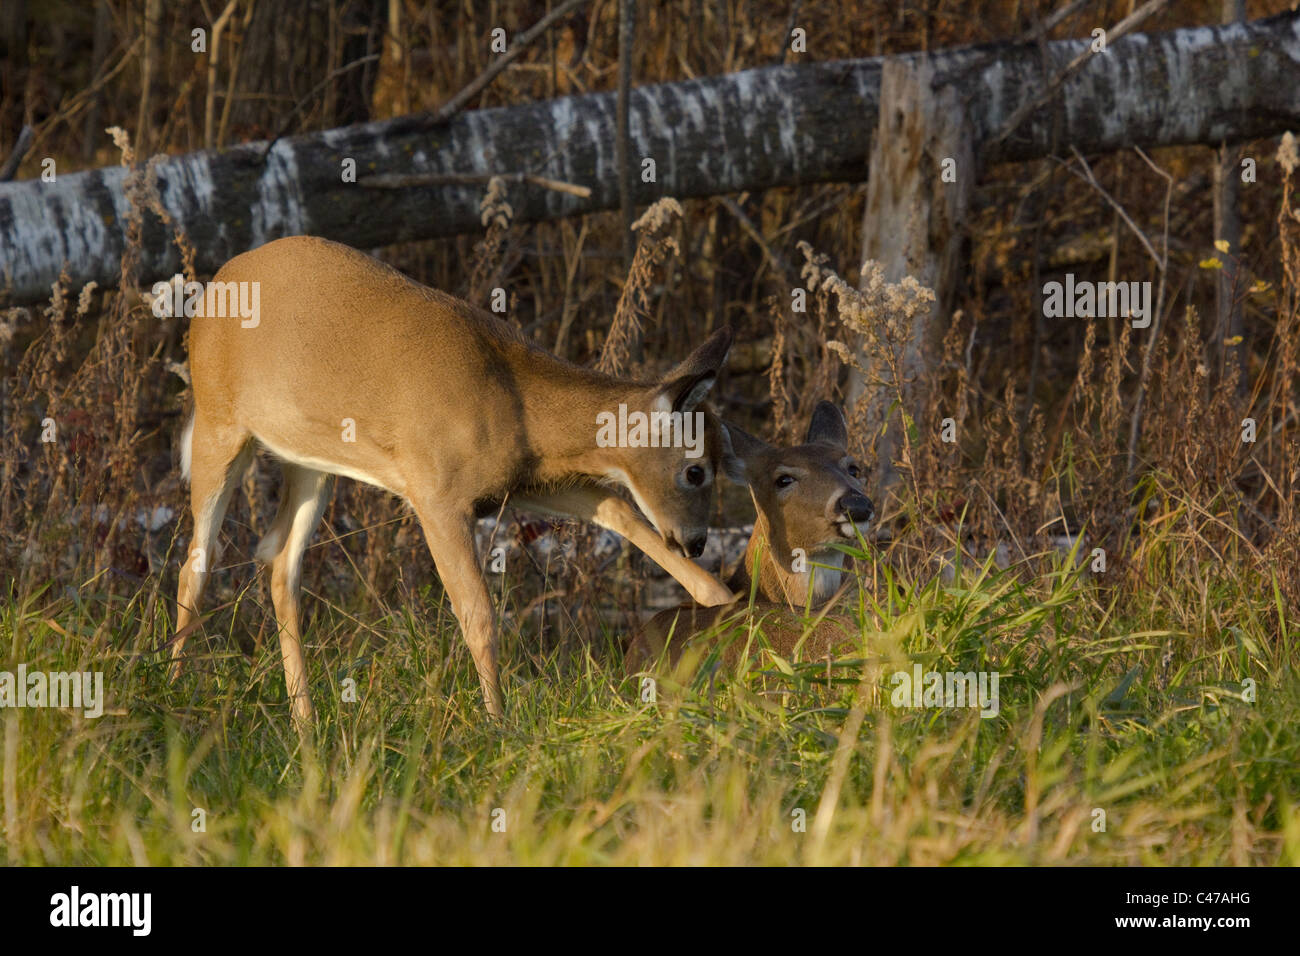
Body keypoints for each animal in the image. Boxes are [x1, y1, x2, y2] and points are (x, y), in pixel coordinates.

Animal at [172, 235, 738, 725]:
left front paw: (726, 603)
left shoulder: (526, 482)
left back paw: (305, 723)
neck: (515, 401)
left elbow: (619, 509)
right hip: (219, 423)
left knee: (278, 561)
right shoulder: (437, 494)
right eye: (695, 470)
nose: (695, 540)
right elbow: (479, 615)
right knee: (197, 562)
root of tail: (221, 281)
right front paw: (499, 725)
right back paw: (174, 690)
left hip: (310, 460)